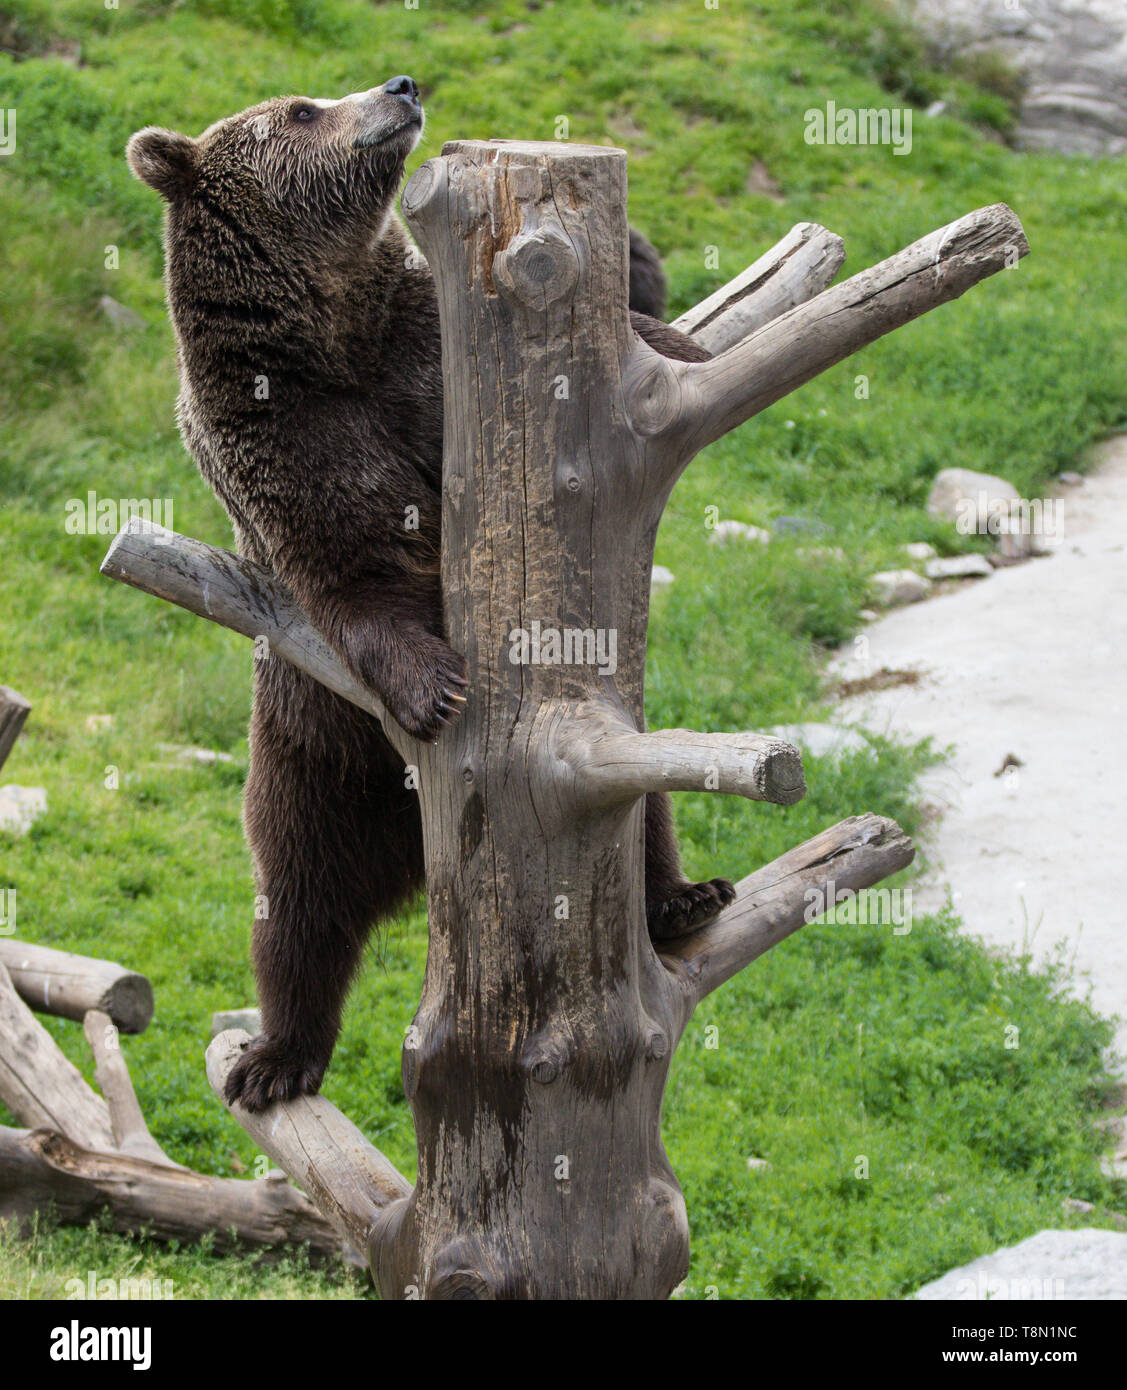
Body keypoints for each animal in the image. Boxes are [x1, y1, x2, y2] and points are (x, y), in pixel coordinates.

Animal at [127, 76, 735, 1112]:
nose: (398, 88)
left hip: (604, 745)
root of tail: (416, 865)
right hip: (308, 766)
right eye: (300, 110)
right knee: (296, 916)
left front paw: (684, 345)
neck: (331, 335)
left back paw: (683, 897)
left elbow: (639, 356)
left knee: (640, 817)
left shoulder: (423, 353)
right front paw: (435, 686)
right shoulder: (284, 438)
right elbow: (355, 580)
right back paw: (274, 1058)